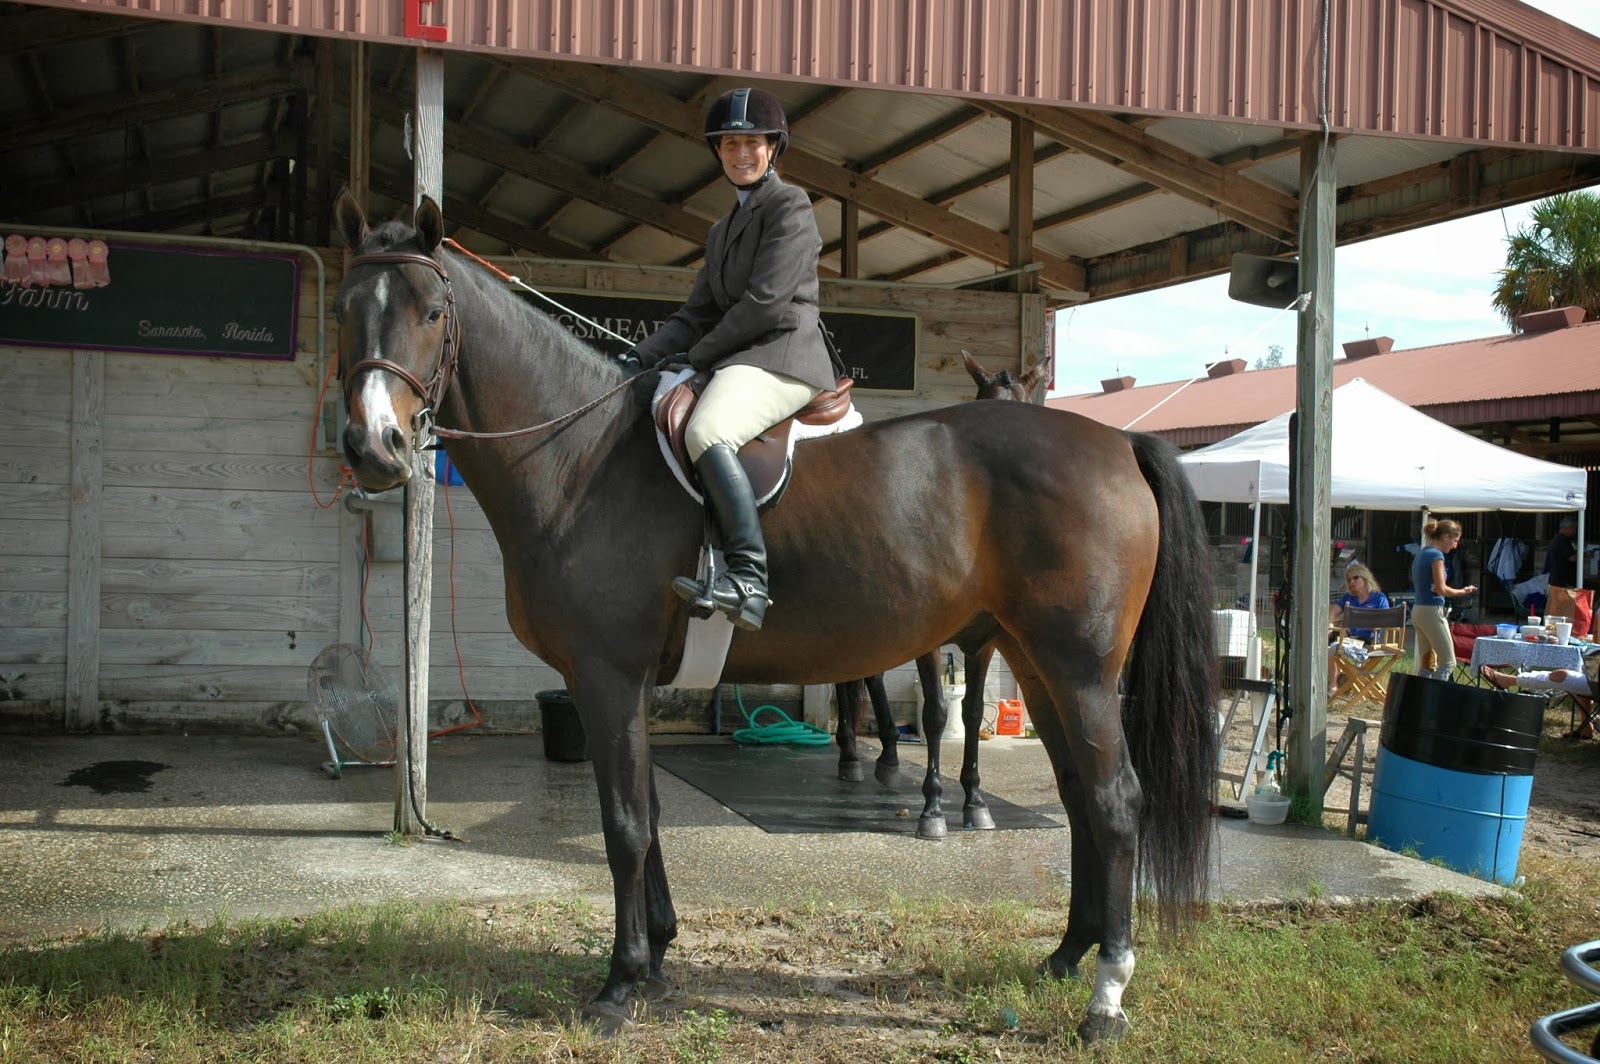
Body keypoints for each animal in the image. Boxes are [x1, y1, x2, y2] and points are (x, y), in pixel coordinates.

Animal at [833, 352, 1055, 843]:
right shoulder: (929, 643)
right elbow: (935, 712)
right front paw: (932, 808)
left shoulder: (984, 642)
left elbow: (971, 711)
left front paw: (975, 802)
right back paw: (852, 757)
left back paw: (887, 758)